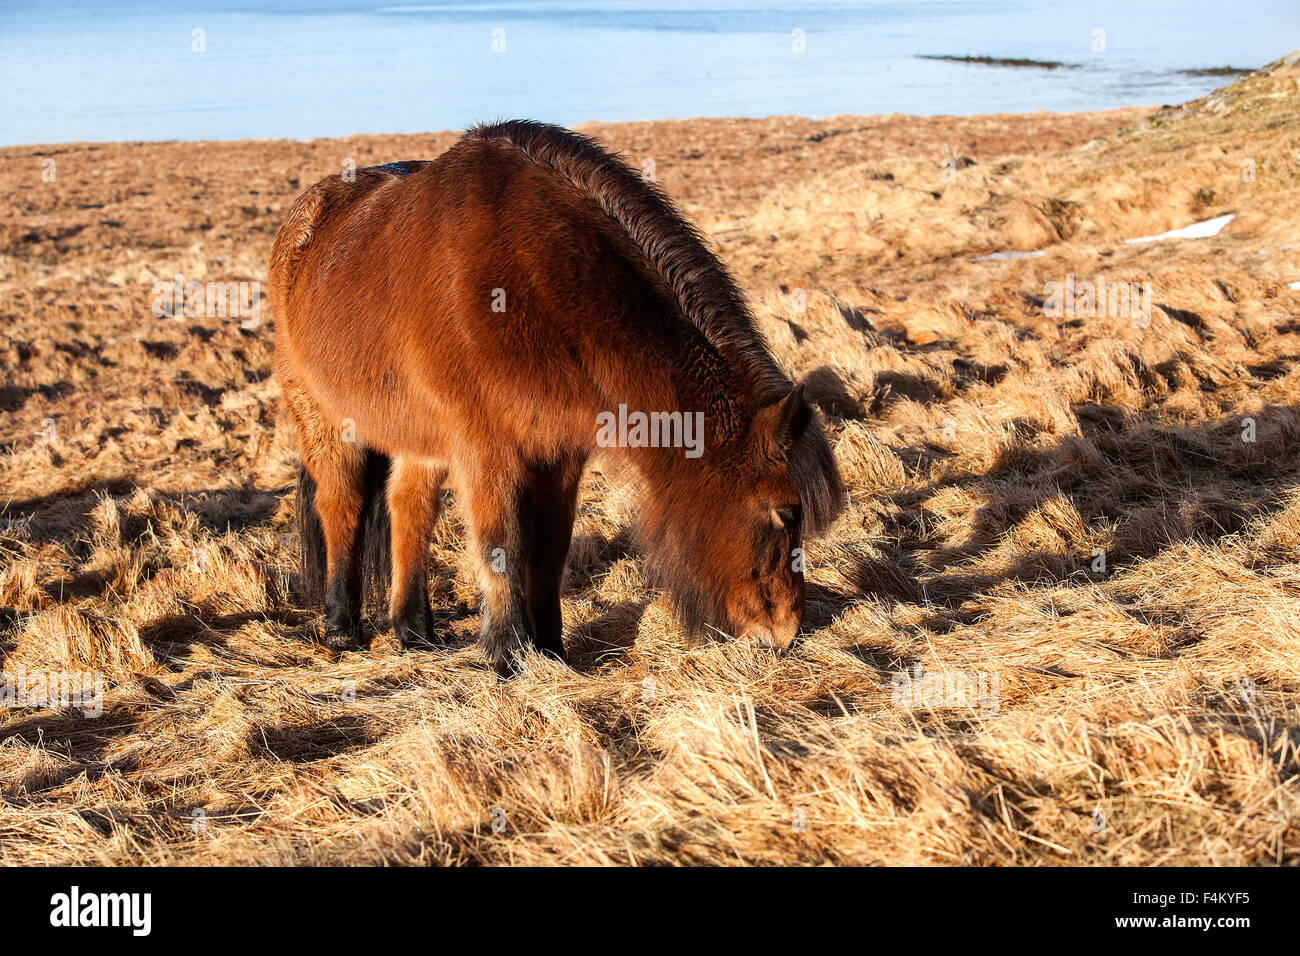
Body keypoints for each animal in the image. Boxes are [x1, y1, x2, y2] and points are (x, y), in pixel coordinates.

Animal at [268, 120, 844, 675]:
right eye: (786, 512)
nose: (786, 632)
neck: (538, 282)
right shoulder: (486, 450)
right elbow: (502, 543)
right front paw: (507, 653)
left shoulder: (559, 452)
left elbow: (549, 546)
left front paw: (549, 649)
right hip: (324, 421)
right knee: (341, 504)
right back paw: (342, 627)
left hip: (417, 436)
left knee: (408, 506)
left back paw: (414, 631)